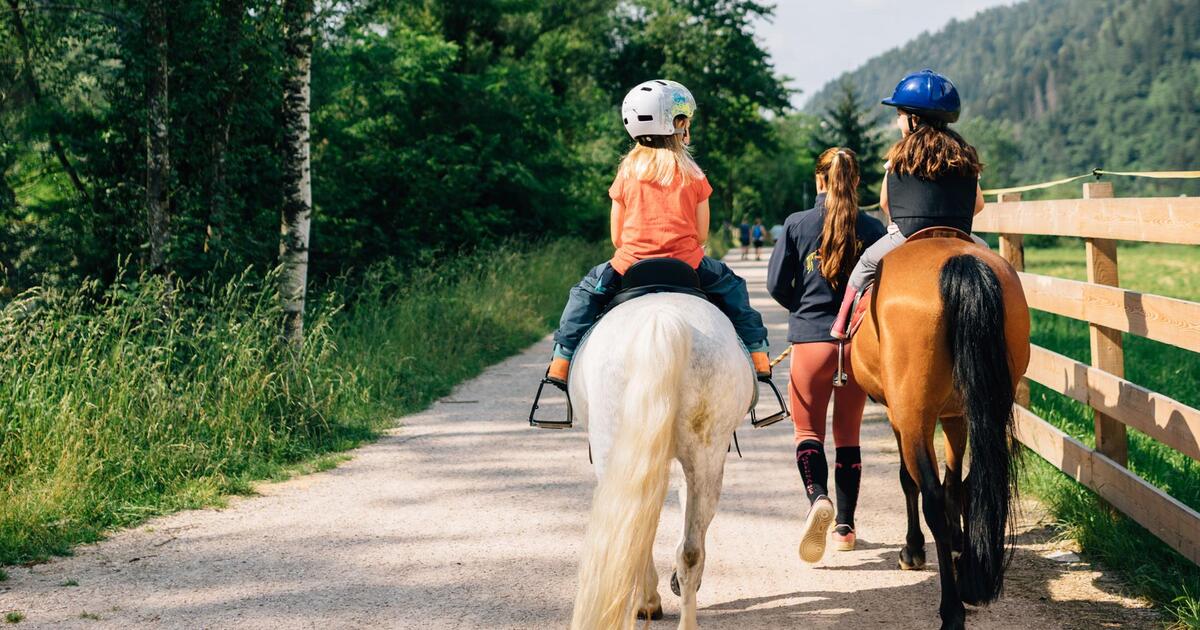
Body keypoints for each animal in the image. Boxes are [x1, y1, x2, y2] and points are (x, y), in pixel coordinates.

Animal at [849, 235, 1030, 630]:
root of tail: (960, 262)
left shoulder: (898, 416)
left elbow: (910, 480)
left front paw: (913, 549)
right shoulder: (956, 415)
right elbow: (954, 482)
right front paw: (962, 544)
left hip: (913, 414)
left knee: (929, 494)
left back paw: (952, 608)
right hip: (990, 406)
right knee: (975, 481)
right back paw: (974, 579)